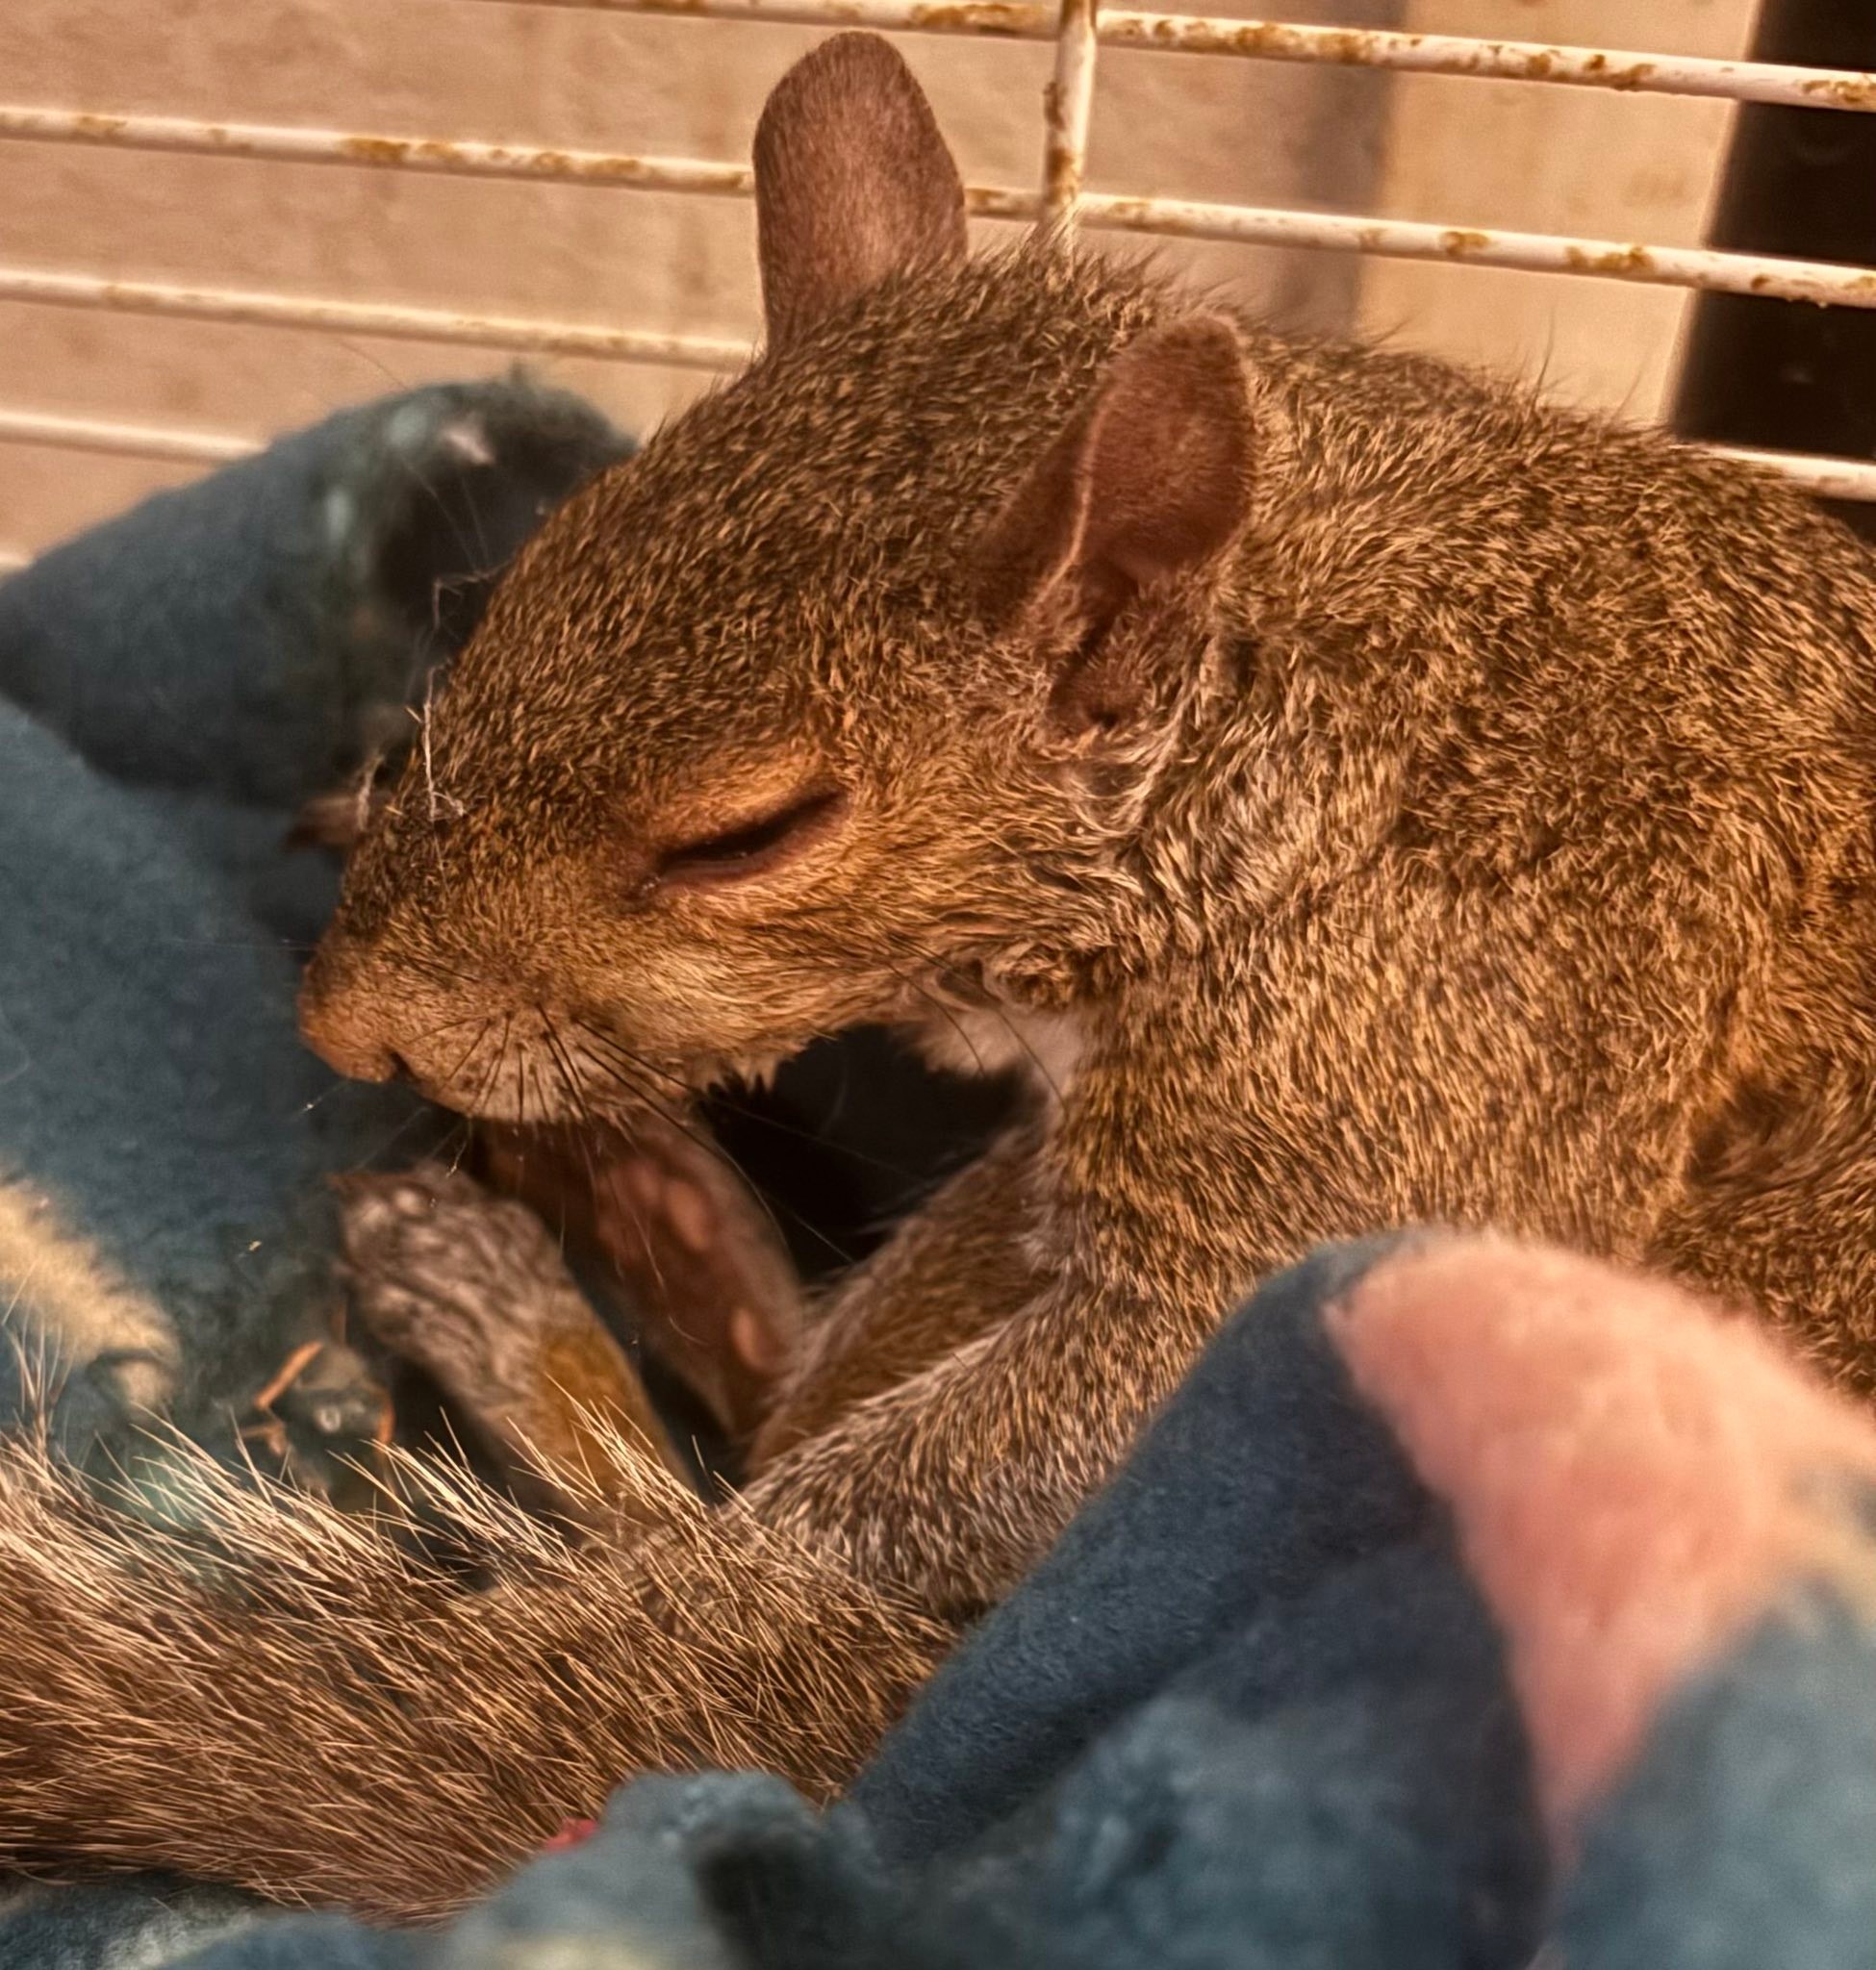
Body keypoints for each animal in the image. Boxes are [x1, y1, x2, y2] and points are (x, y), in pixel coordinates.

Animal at [1, 26, 1876, 1922]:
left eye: (745, 834)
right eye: (522, 589)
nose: (345, 1022)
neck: (1289, 701)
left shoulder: (1403, 1081)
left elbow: (1008, 1435)